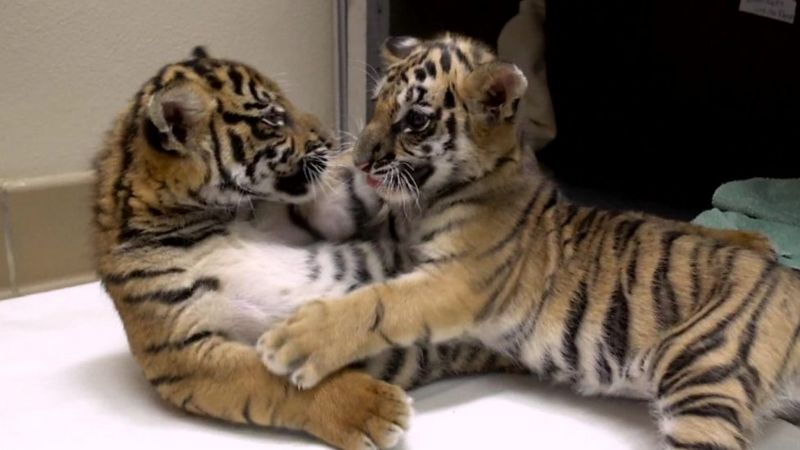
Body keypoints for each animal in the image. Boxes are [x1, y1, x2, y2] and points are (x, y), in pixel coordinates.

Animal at [92, 46, 524, 450]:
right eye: (271, 119)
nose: (330, 139)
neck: (215, 215)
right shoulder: (184, 353)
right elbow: (271, 381)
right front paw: (371, 410)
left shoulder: (315, 216)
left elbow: (352, 187)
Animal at [259, 33, 800, 449]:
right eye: (376, 105)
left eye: (415, 120)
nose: (364, 159)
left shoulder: (457, 279)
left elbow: (380, 304)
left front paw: (294, 340)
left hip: (708, 375)